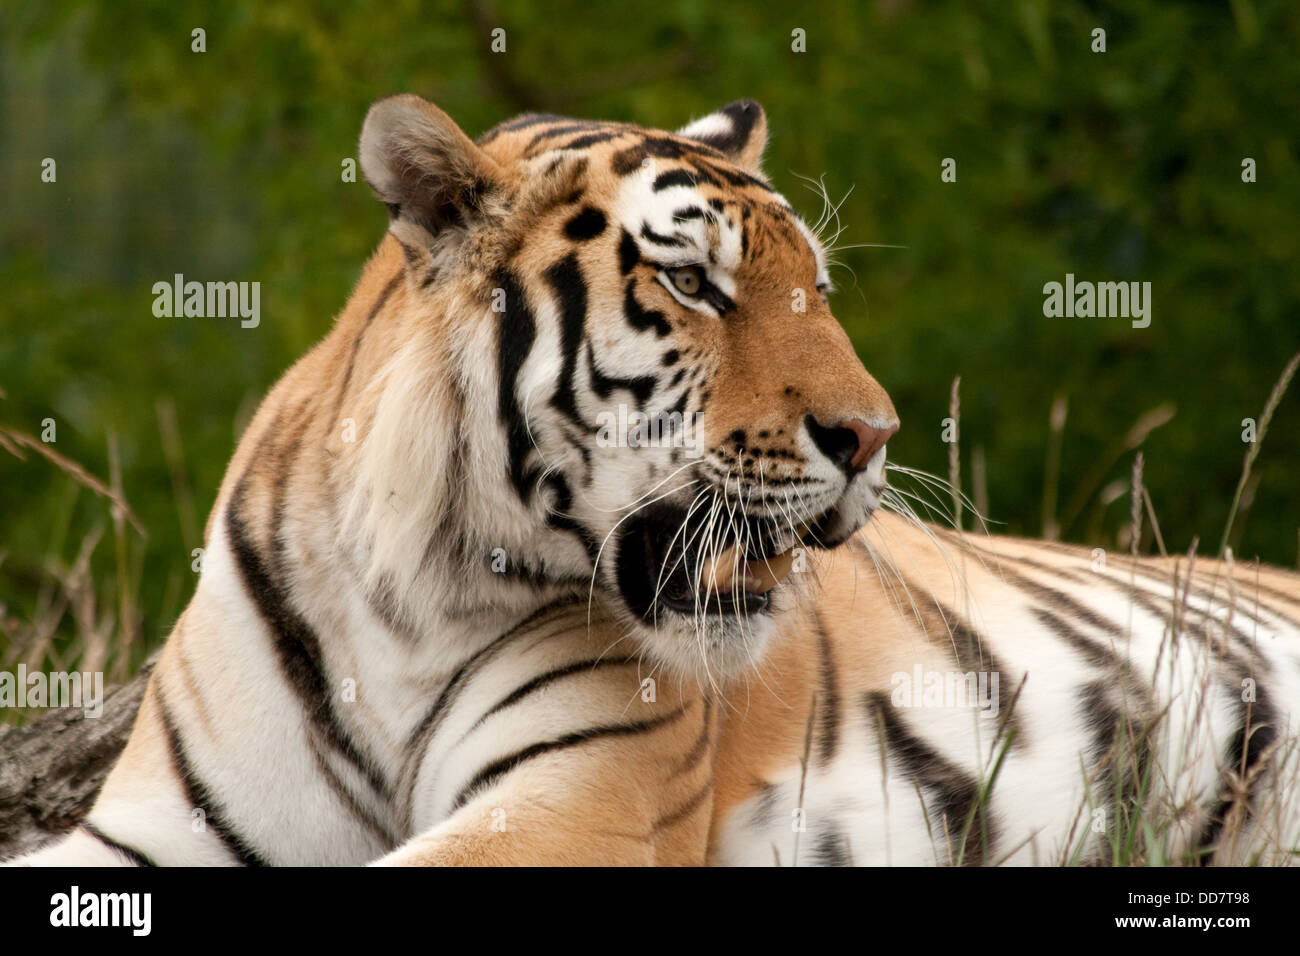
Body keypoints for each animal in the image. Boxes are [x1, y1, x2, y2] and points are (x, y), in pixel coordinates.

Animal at [10, 94, 1300, 867]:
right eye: (692, 283)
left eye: (814, 288)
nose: (873, 434)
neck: (401, 591)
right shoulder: (160, 826)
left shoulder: (578, 799)